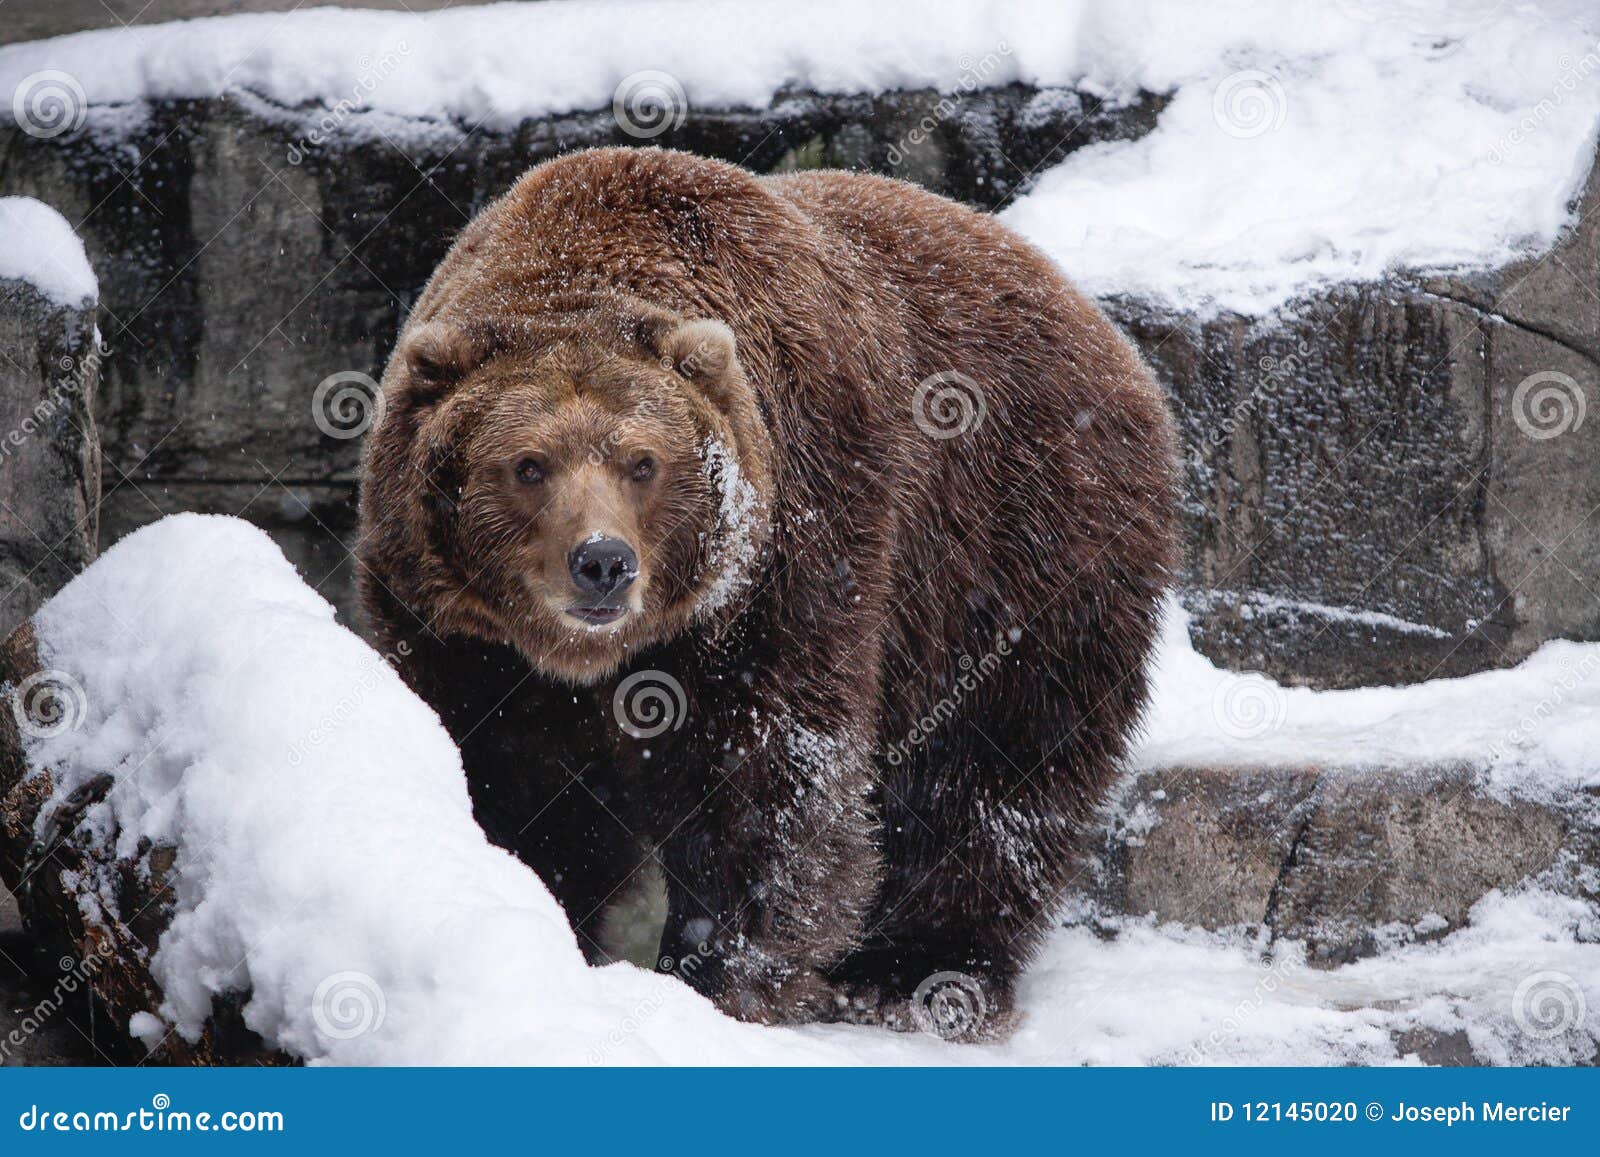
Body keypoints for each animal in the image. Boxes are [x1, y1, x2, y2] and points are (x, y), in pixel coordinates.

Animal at [357, 147, 1178, 1037]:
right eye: (528, 464)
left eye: (643, 462)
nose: (603, 561)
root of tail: (1107, 334)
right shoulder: (459, 630)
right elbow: (506, 775)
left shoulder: (783, 554)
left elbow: (765, 772)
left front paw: (722, 974)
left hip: (1021, 551)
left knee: (1001, 766)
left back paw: (916, 974)